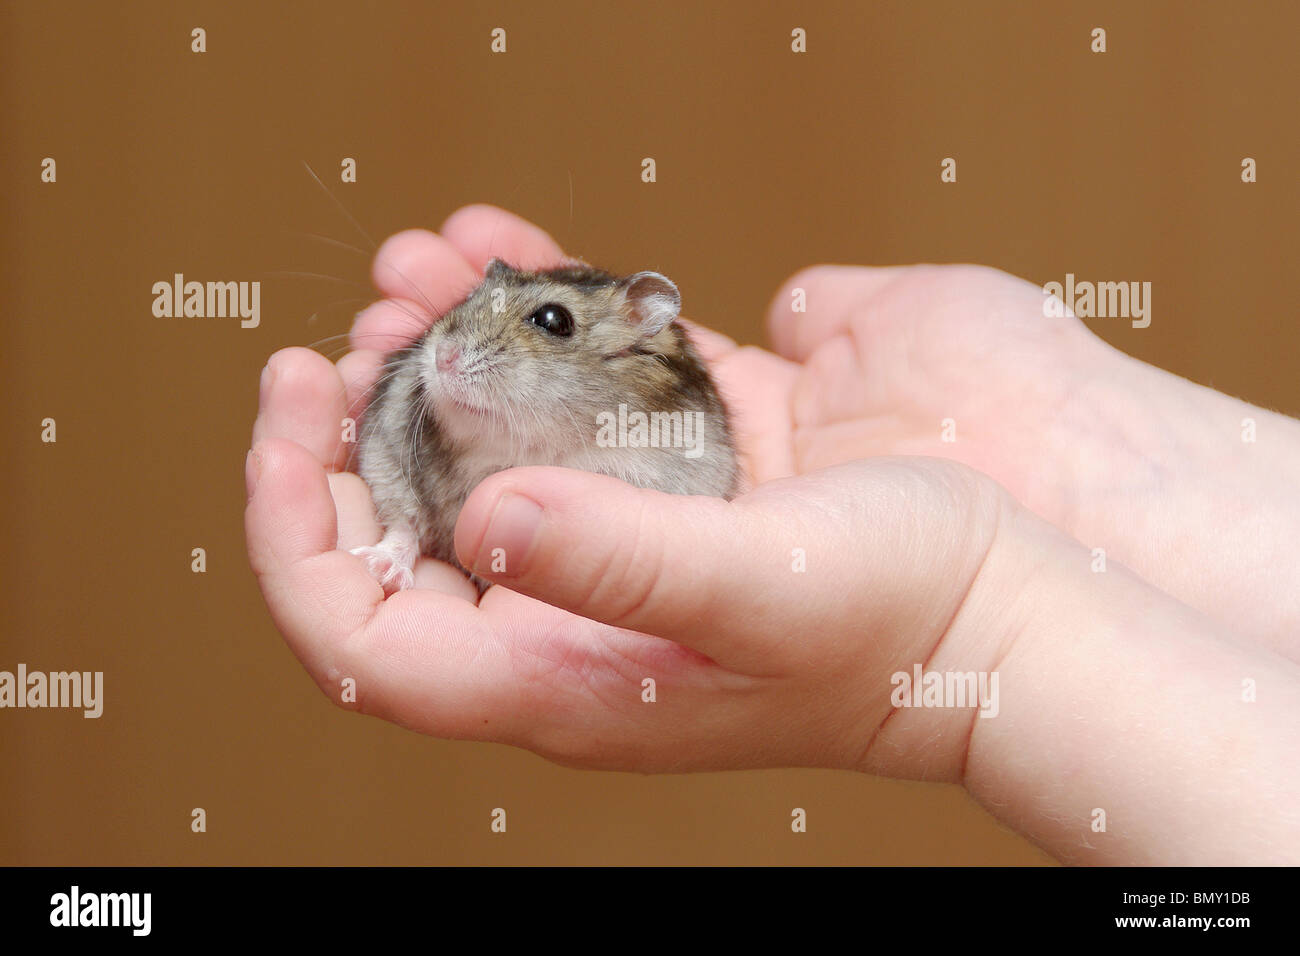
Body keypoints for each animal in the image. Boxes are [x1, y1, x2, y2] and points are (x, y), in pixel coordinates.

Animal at [351, 257, 740, 593]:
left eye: (553, 320)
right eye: (468, 299)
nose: (442, 357)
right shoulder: (388, 460)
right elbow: (404, 525)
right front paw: (377, 569)